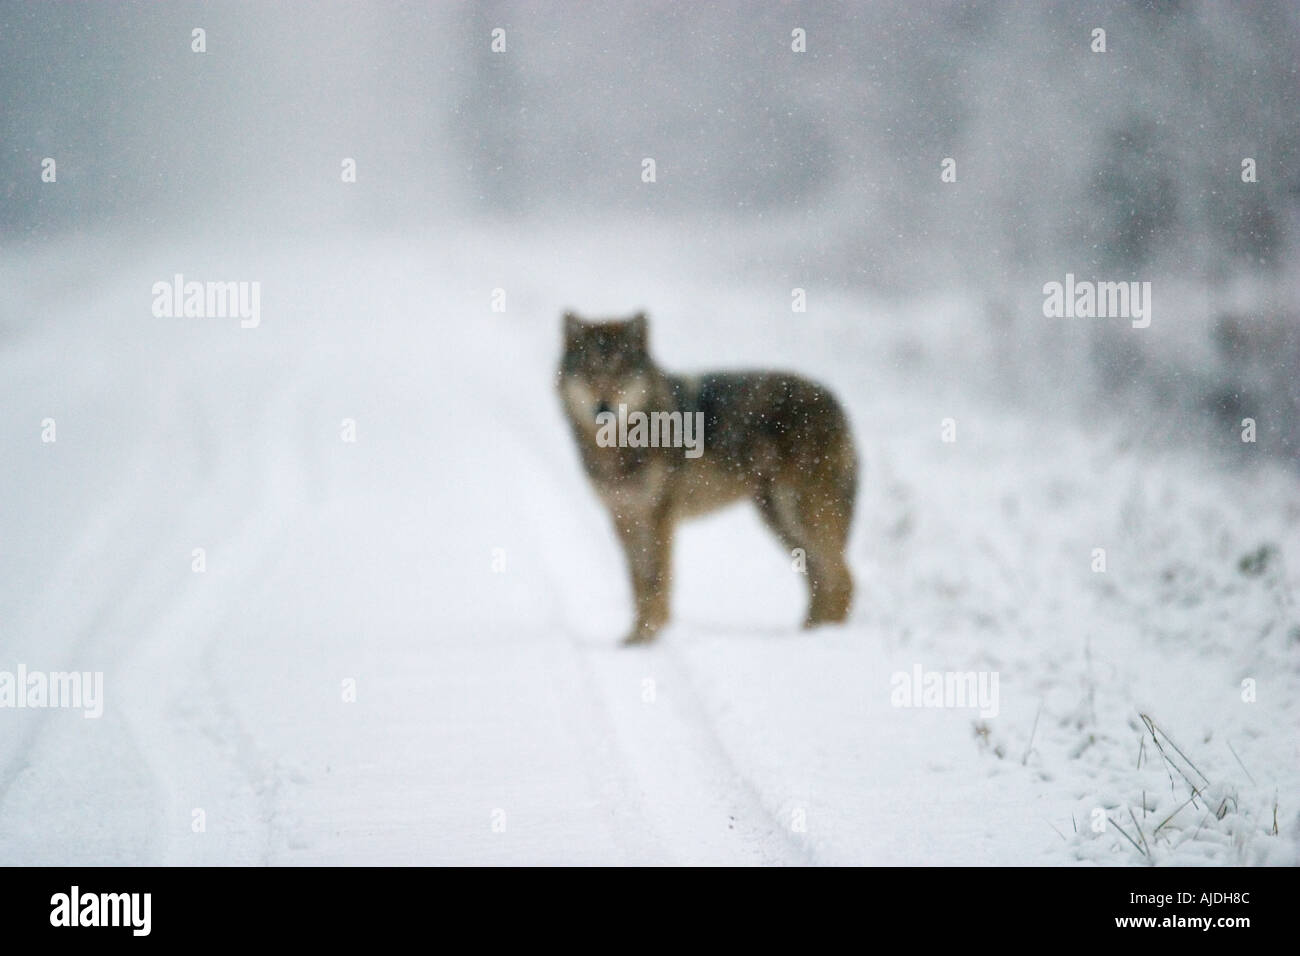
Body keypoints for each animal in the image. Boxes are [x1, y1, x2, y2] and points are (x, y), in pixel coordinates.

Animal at [557, 310, 857, 644]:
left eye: (621, 374)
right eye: (590, 372)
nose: (603, 408)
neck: (622, 445)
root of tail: (837, 403)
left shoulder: (660, 516)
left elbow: (657, 582)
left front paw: (650, 637)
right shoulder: (623, 518)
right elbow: (638, 585)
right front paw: (634, 639)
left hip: (802, 514)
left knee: (842, 580)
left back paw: (827, 640)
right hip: (781, 521)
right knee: (821, 580)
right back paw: (809, 636)